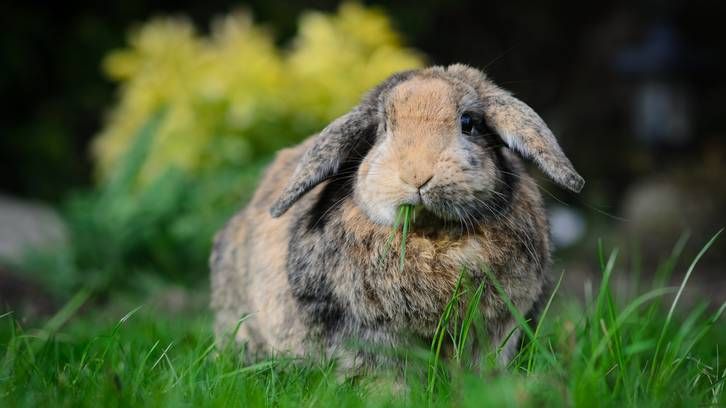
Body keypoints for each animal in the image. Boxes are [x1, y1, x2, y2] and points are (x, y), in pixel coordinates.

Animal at [210, 64, 584, 371]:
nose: (417, 174)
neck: (431, 237)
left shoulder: (501, 326)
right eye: (383, 128)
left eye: (469, 123)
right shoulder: (364, 335)